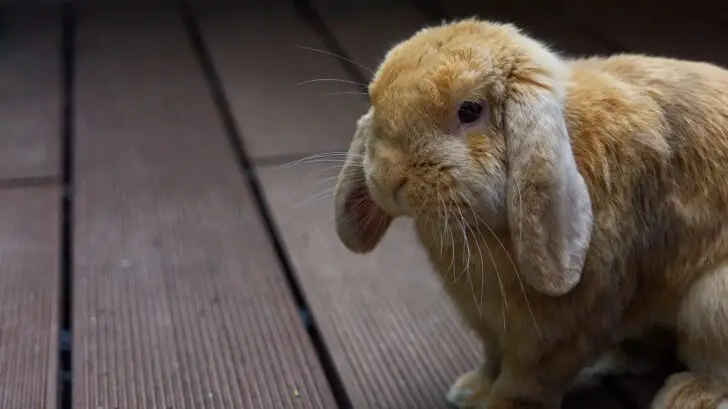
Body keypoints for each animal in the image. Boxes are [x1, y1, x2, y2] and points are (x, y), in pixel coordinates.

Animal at [332, 17, 728, 409]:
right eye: (375, 101)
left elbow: (524, 383)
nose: (387, 178)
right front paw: (469, 391)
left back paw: (687, 395)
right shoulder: (489, 325)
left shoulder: (557, 333)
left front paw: (495, 405)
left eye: (470, 110)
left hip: (710, 303)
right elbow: (492, 361)